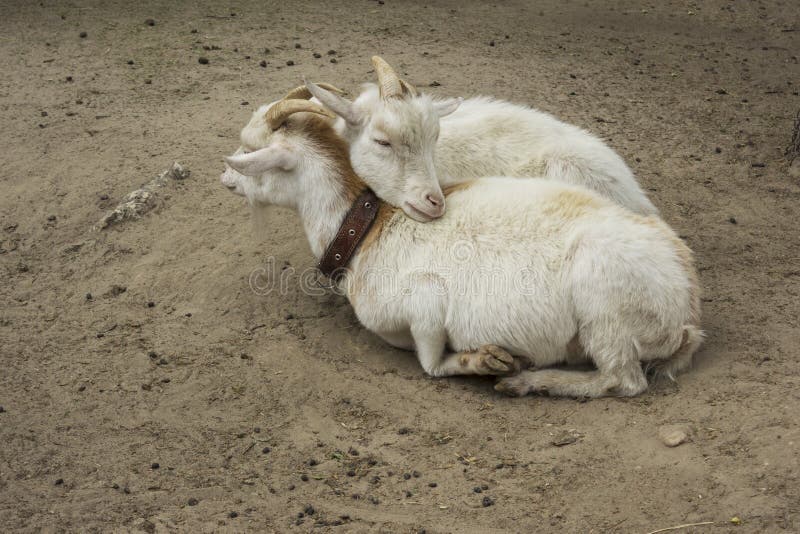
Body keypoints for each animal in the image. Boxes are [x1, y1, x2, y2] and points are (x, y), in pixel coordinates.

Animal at [221, 96, 702, 399]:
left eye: (250, 152)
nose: (225, 177)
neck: (366, 231)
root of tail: (687, 311)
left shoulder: (422, 300)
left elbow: (431, 362)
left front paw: (488, 362)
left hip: (605, 315)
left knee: (623, 381)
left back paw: (529, 382)